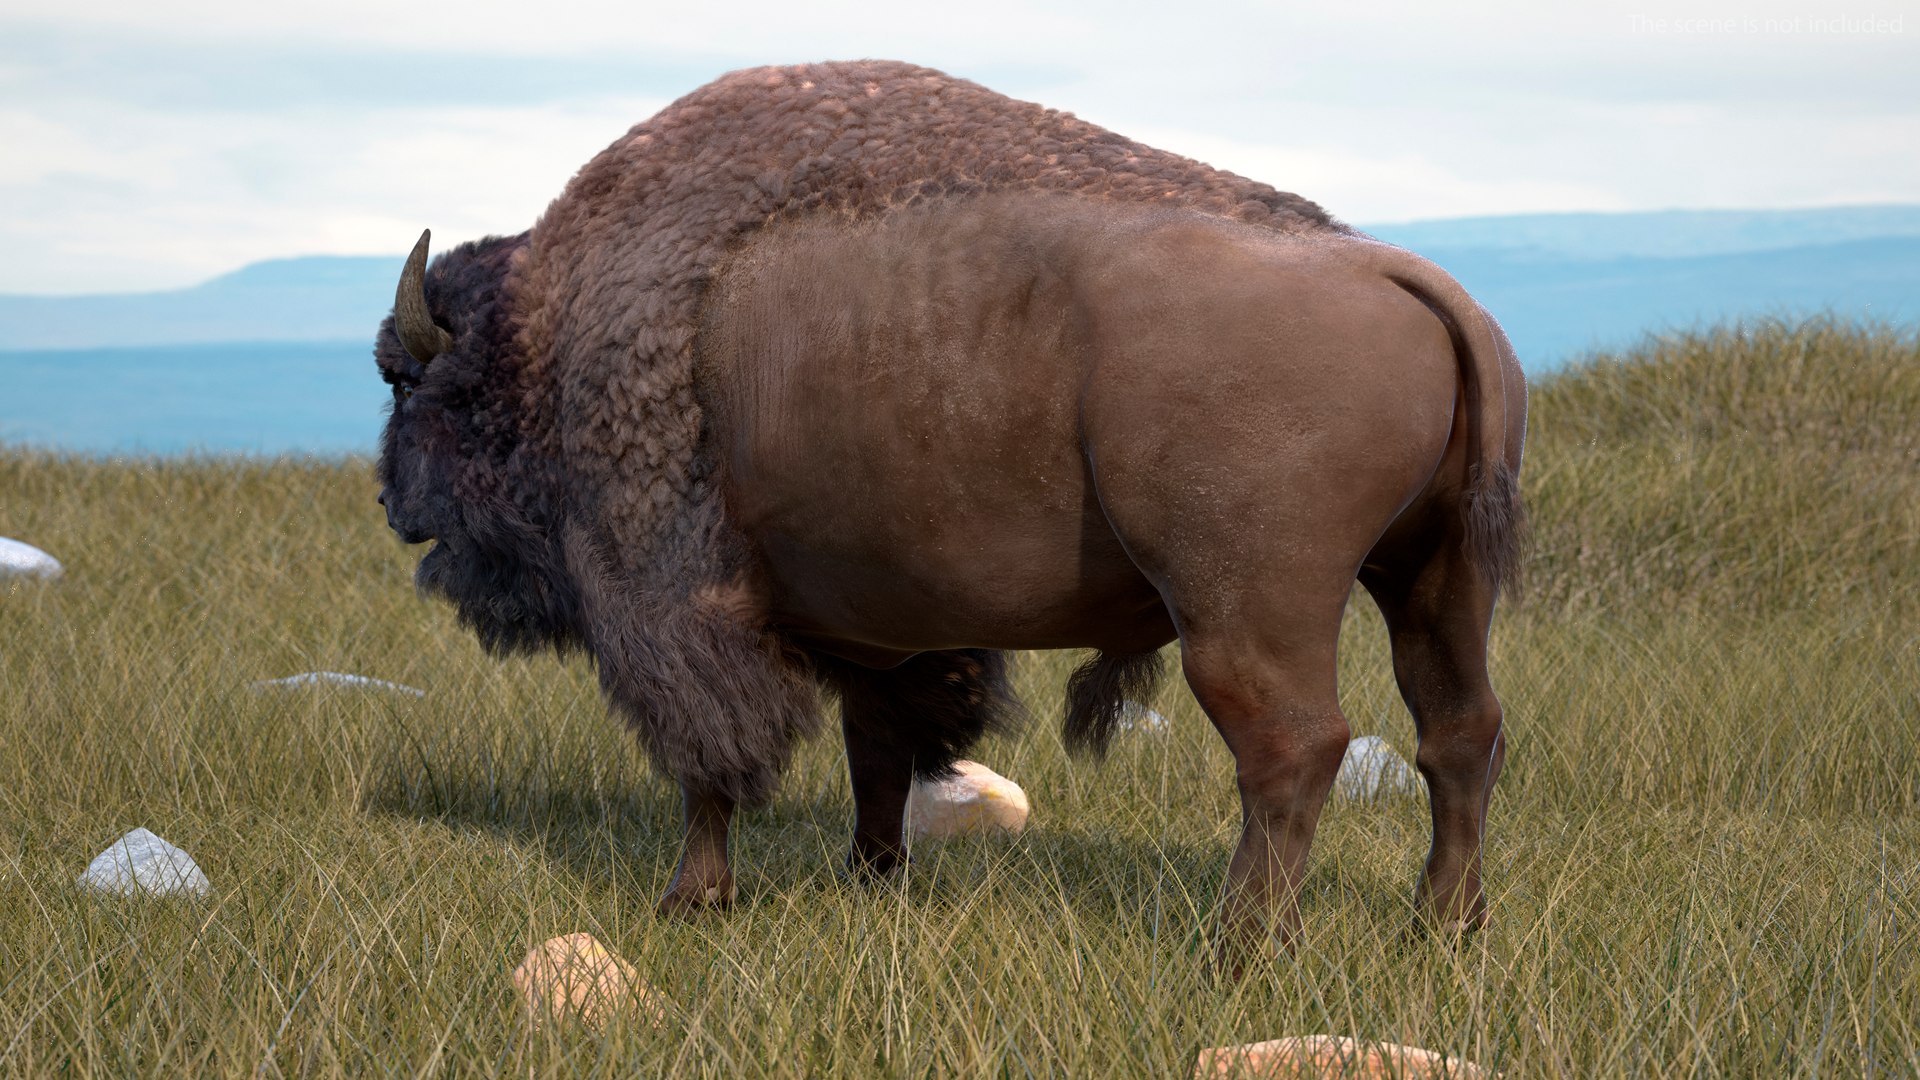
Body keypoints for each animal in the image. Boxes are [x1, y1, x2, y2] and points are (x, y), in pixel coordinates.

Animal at [373, 60, 1526, 962]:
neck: (553, 331)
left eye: (408, 384)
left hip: (1246, 607)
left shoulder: (673, 612)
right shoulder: (889, 636)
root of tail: (1411, 277)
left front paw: (691, 899)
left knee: (1292, 747)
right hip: (1433, 579)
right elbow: (879, 749)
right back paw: (1445, 928)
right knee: (1458, 730)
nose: (390, 500)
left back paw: (1241, 947)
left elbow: (712, 765)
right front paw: (869, 876)